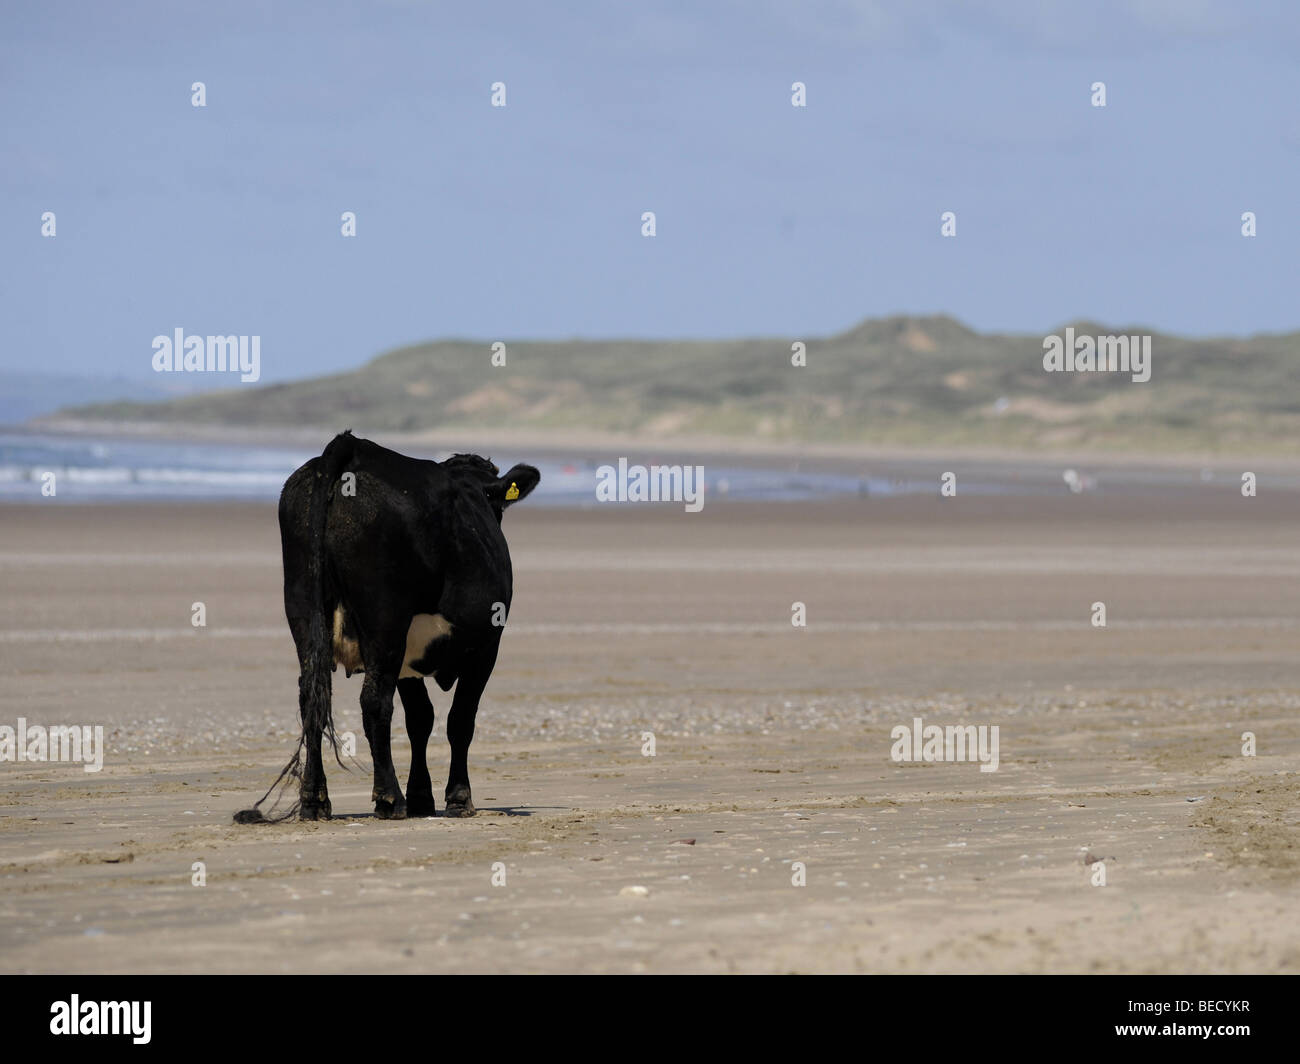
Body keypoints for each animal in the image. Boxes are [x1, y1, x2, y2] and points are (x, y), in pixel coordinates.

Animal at [235, 430, 539, 823]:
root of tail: (352, 446)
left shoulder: (409, 659)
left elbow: (420, 720)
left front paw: (422, 796)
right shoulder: (485, 648)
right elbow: (459, 721)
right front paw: (457, 798)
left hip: (303, 608)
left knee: (312, 697)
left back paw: (315, 800)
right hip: (385, 622)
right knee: (374, 702)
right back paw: (389, 798)